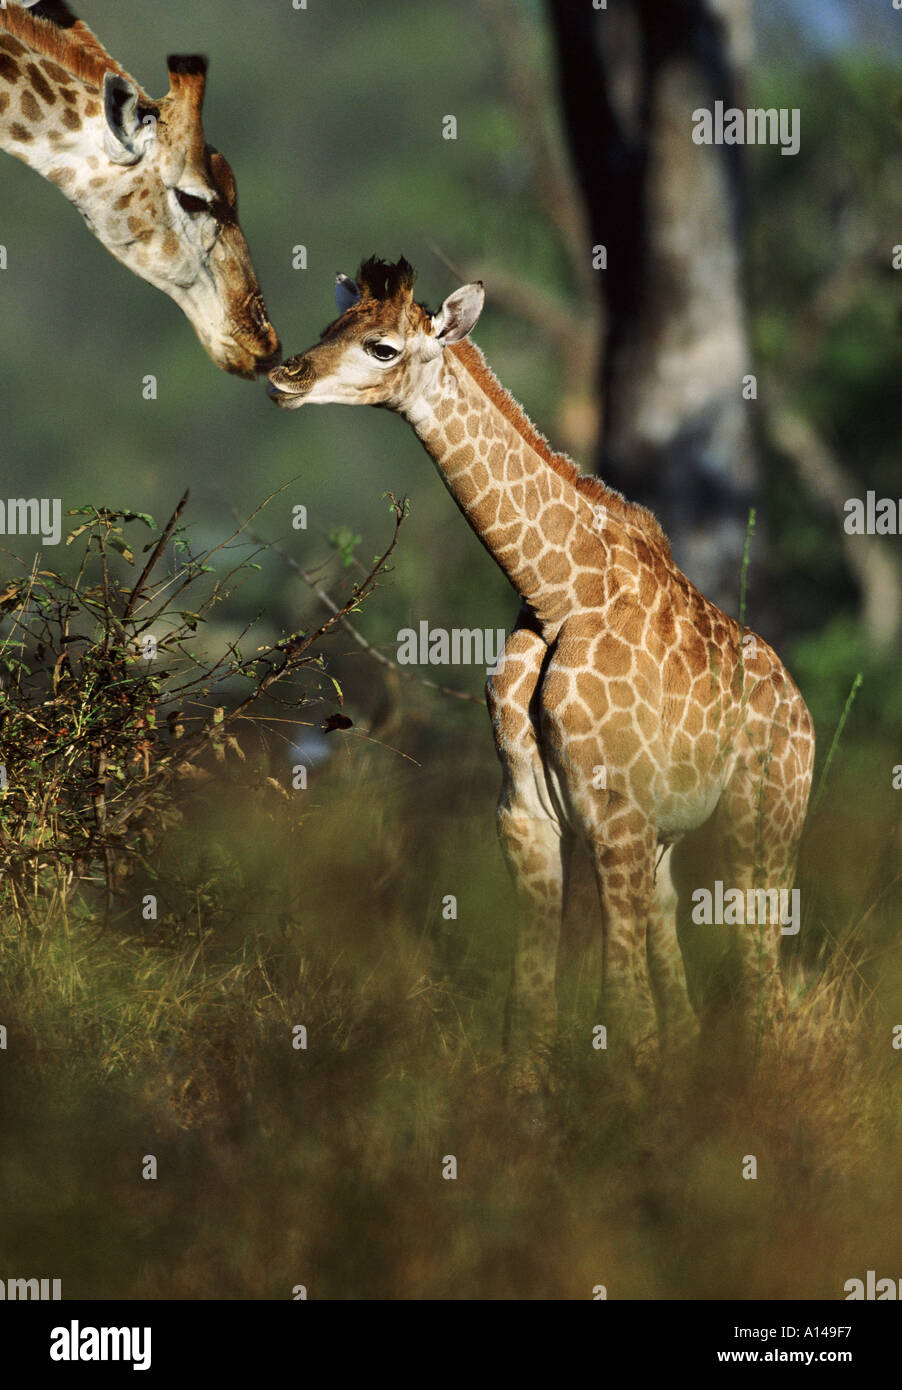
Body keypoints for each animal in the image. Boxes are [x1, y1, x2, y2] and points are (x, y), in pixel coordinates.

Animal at [268, 257, 816, 1086]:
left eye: (383, 347)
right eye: (332, 325)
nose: (284, 374)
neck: (556, 590)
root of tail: (802, 711)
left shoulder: (616, 817)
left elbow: (625, 1012)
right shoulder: (526, 811)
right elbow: (530, 1006)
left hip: (765, 819)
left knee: (767, 991)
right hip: (675, 843)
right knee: (694, 989)